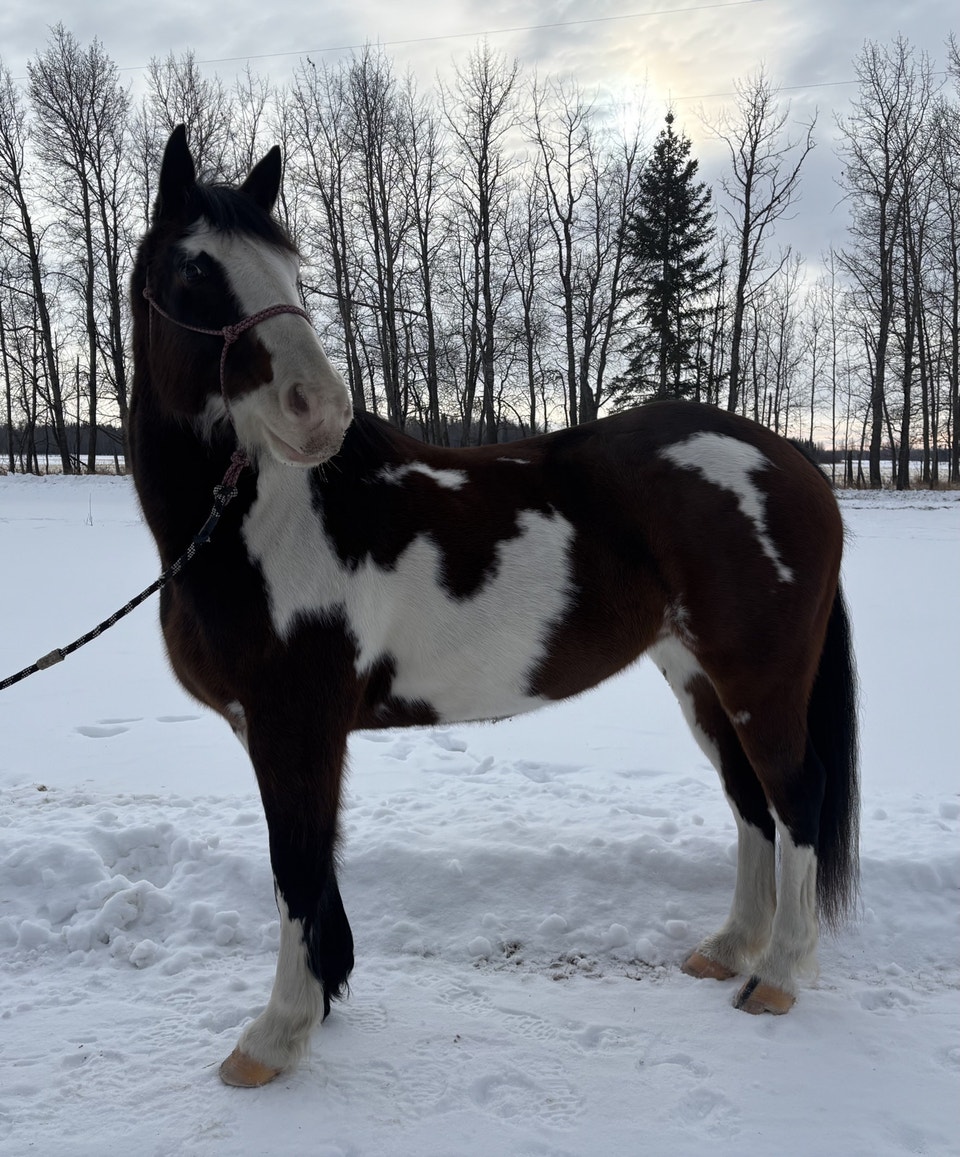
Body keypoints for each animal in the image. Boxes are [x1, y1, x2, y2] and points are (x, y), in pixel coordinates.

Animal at [129, 125, 859, 1088]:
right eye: (196, 270)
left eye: (287, 265)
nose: (318, 410)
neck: (259, 518)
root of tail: (792, 458)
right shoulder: (287, 728)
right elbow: (317, 863)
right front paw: (324, 998)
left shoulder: (295, 723)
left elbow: (297, 863)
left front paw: (275, 1036)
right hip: (700, 678)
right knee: (750, 802)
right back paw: (730, 948)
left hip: (759, 680)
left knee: (796, 797)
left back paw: (775, 977)